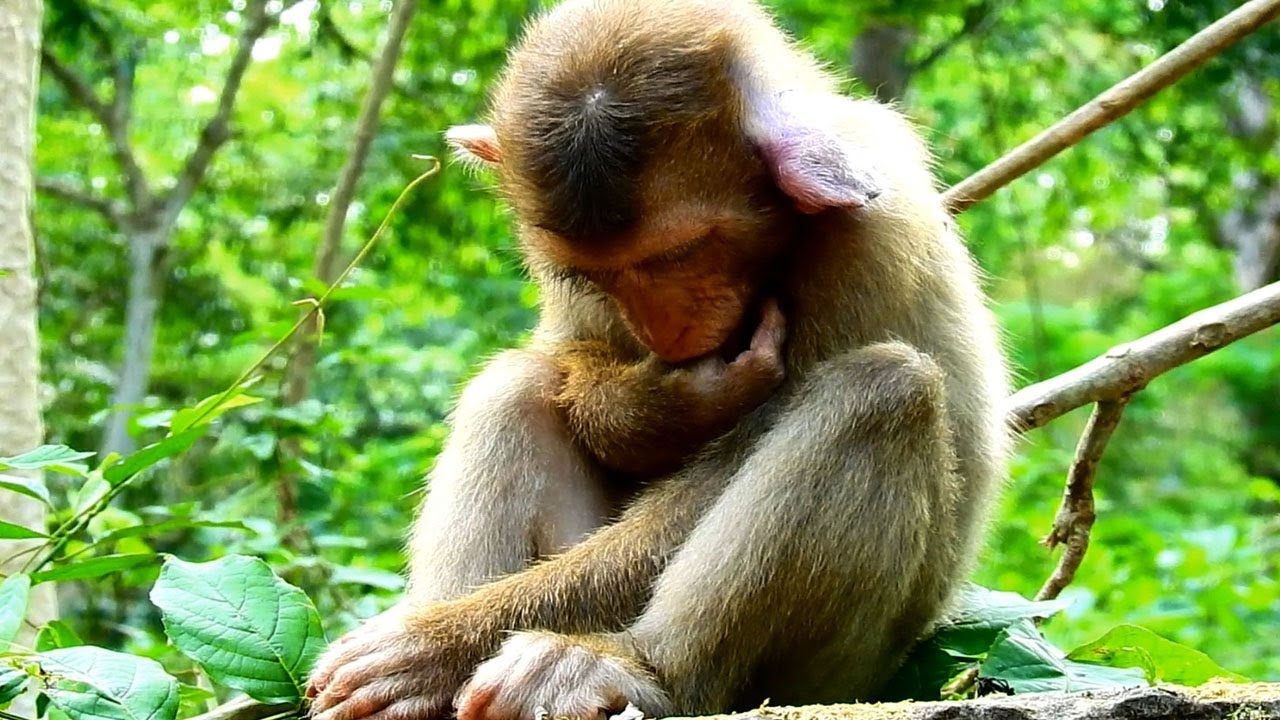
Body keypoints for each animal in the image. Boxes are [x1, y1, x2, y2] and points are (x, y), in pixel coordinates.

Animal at [306, 2, 1009, 720]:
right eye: (592, 274)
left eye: (681, 252)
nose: (663, 330)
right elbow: (563, 356)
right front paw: (661, 408)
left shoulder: (870, 238)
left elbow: (711, 480)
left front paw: (432, 646)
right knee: (517, 384)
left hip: (836, 673)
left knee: (885, 390)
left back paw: (630, 667)